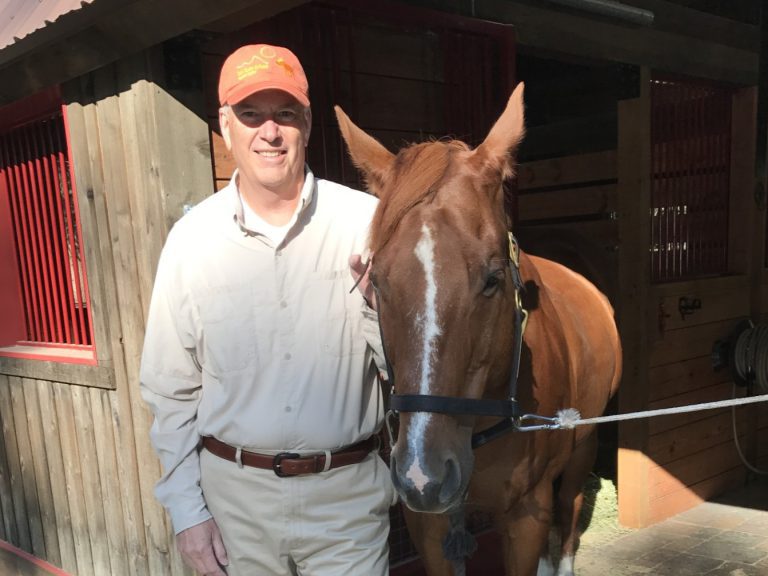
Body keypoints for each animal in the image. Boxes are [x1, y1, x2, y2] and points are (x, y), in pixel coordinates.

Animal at [335, 83, 622, 576]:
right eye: (377, 282)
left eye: (492, 278)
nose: (423, 474)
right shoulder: (428, 524)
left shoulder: (526, 514)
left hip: (584, 445)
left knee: (569, 508)